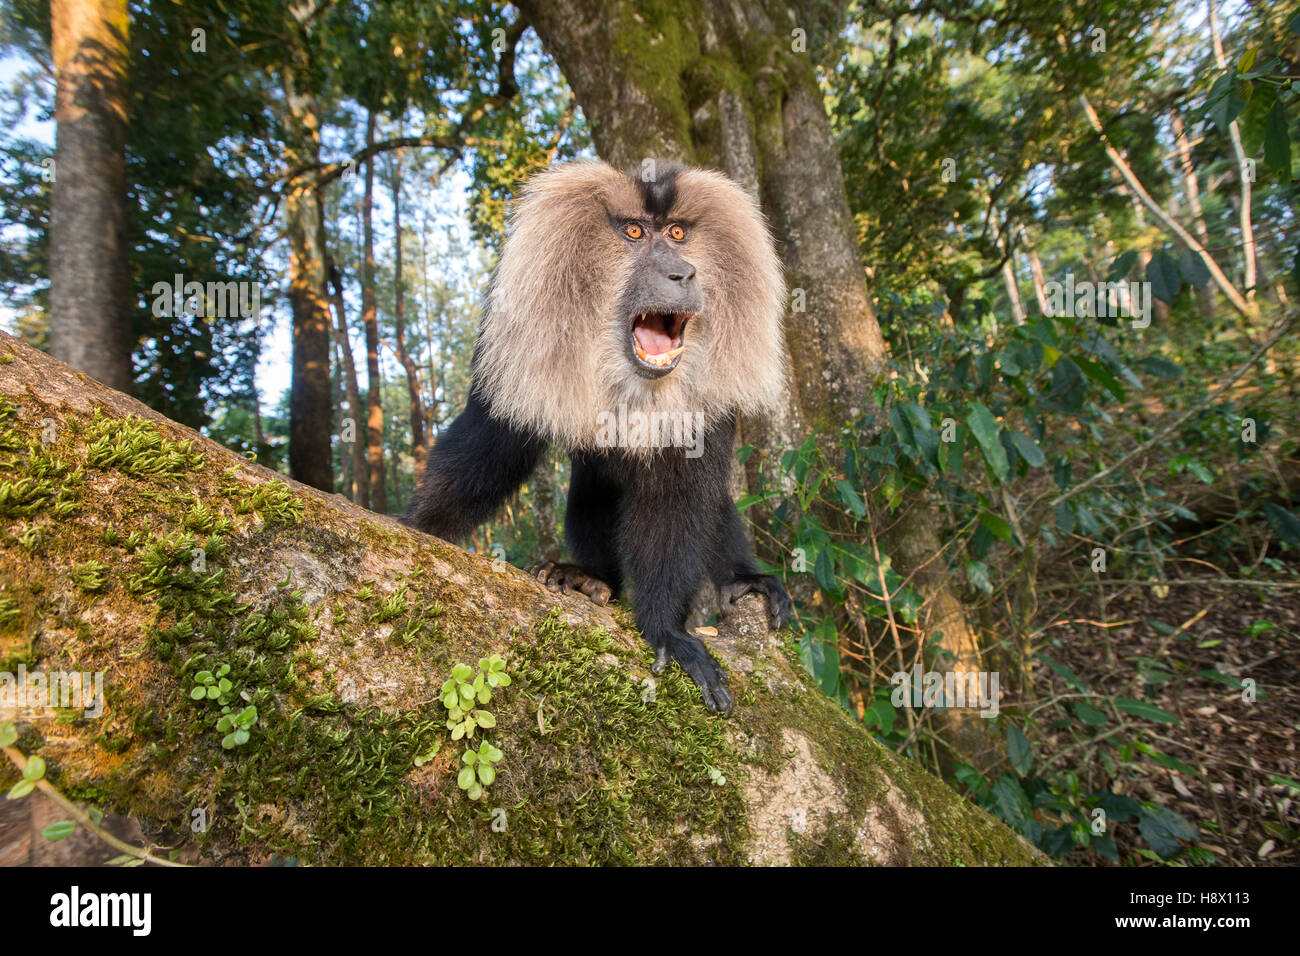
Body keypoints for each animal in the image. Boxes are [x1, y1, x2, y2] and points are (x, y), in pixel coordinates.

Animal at [404, 160, 791, 715]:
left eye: (678, 234)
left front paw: (665, 629)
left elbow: (682, 496)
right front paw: (417, 526)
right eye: (634, 232)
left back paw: (741, 577)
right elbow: (491, 443)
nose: (682, 273)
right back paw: (590, 580)